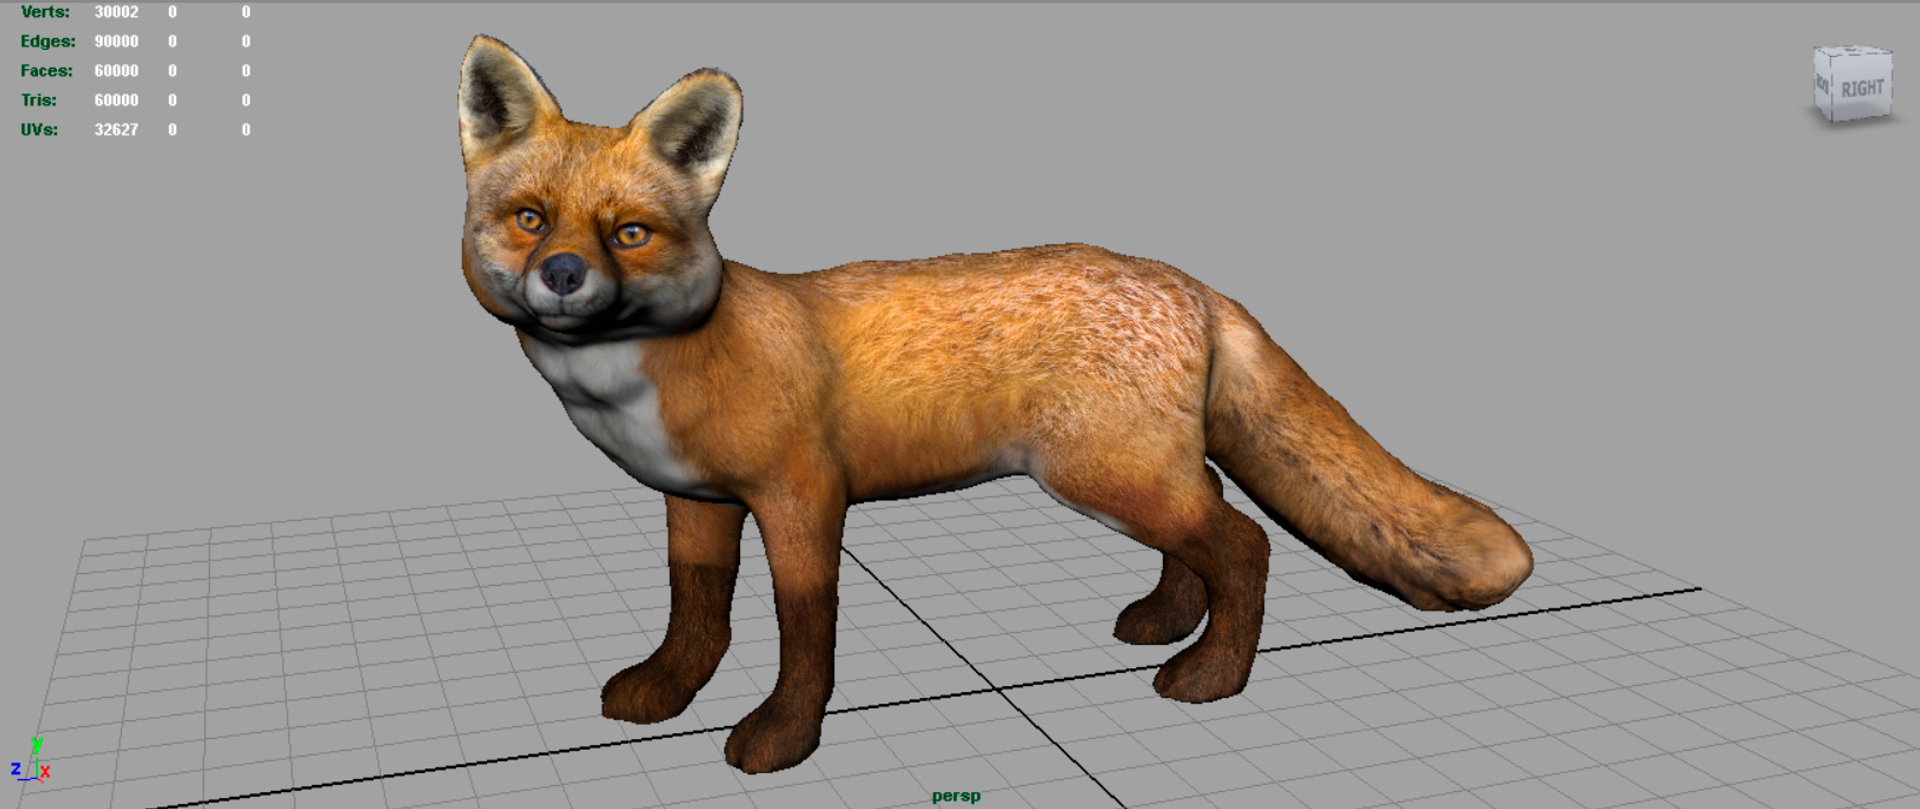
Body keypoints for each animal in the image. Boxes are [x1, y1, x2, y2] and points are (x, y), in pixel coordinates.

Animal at [457, 35, 1533, 774]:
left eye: (630, 233)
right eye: (530, 218)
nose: (561, 275)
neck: (659, 366)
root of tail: (1188, 280)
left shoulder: (802, 497)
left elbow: (805, 628)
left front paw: (782, 734)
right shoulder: (698, 499)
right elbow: (696, 614)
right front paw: (668, 688)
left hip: (1106, 474)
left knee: (1245, 540)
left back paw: (1212, 674)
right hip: (1134, 475)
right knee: (1215, 518)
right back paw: (1165, 618)